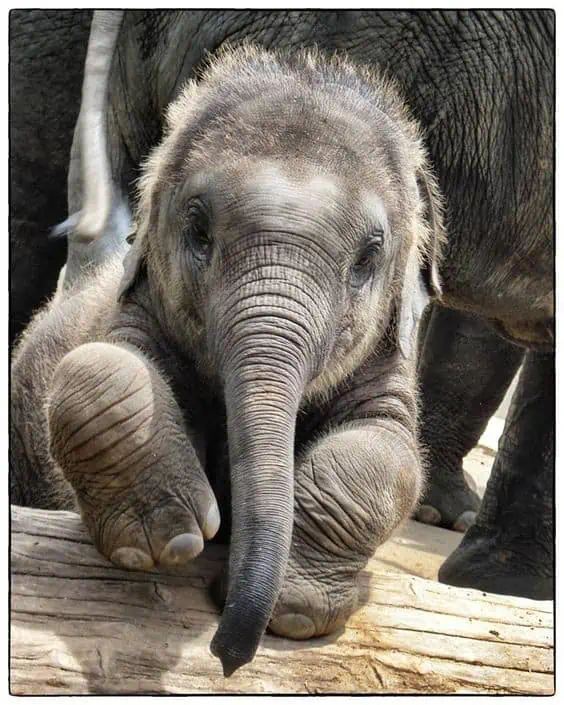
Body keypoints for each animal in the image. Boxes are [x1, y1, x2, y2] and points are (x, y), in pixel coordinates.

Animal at [10, 45, 444, 675]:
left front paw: (294, 613)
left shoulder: (387, 363)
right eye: (198, 229)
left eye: (368, 258)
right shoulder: (136, 309)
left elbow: (383, 454)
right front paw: (171, 540)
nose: (227, 656)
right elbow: (101, 367)